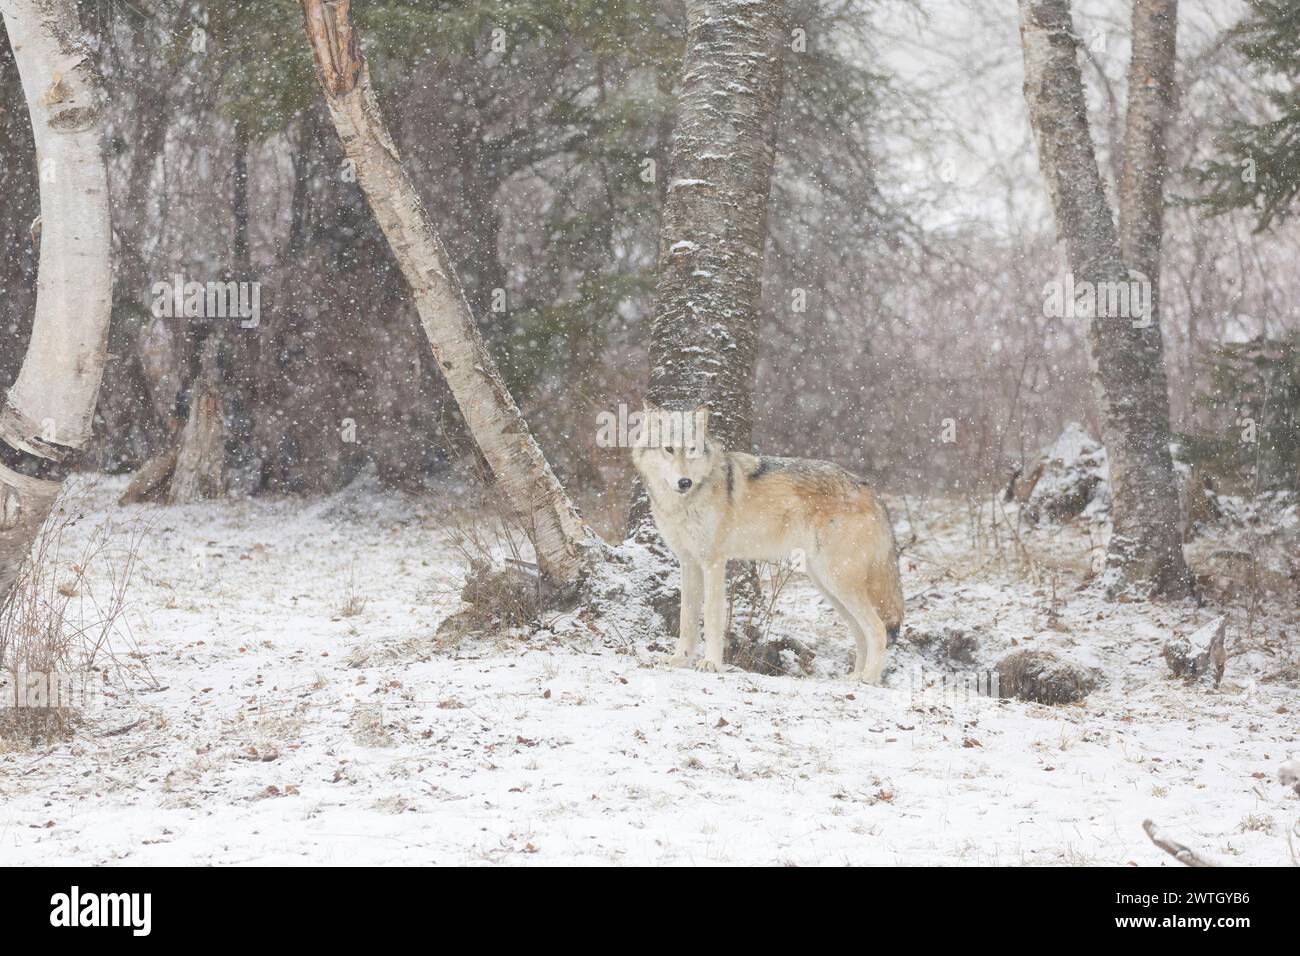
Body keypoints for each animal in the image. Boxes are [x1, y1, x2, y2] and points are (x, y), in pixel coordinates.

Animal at [632, 403, 903, 682]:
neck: (685, 502)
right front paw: (679, 660)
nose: (684, 482)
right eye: (669, 449)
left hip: (838, 580)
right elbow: (687, 619)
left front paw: (711, 664)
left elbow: (712, 619)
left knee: (878, 629)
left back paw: (868, 679)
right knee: (861, 633)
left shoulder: (714, 563)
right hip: (827, 584)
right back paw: (853, 678)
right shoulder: (688, 562)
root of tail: (871, 489)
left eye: (692, 450)